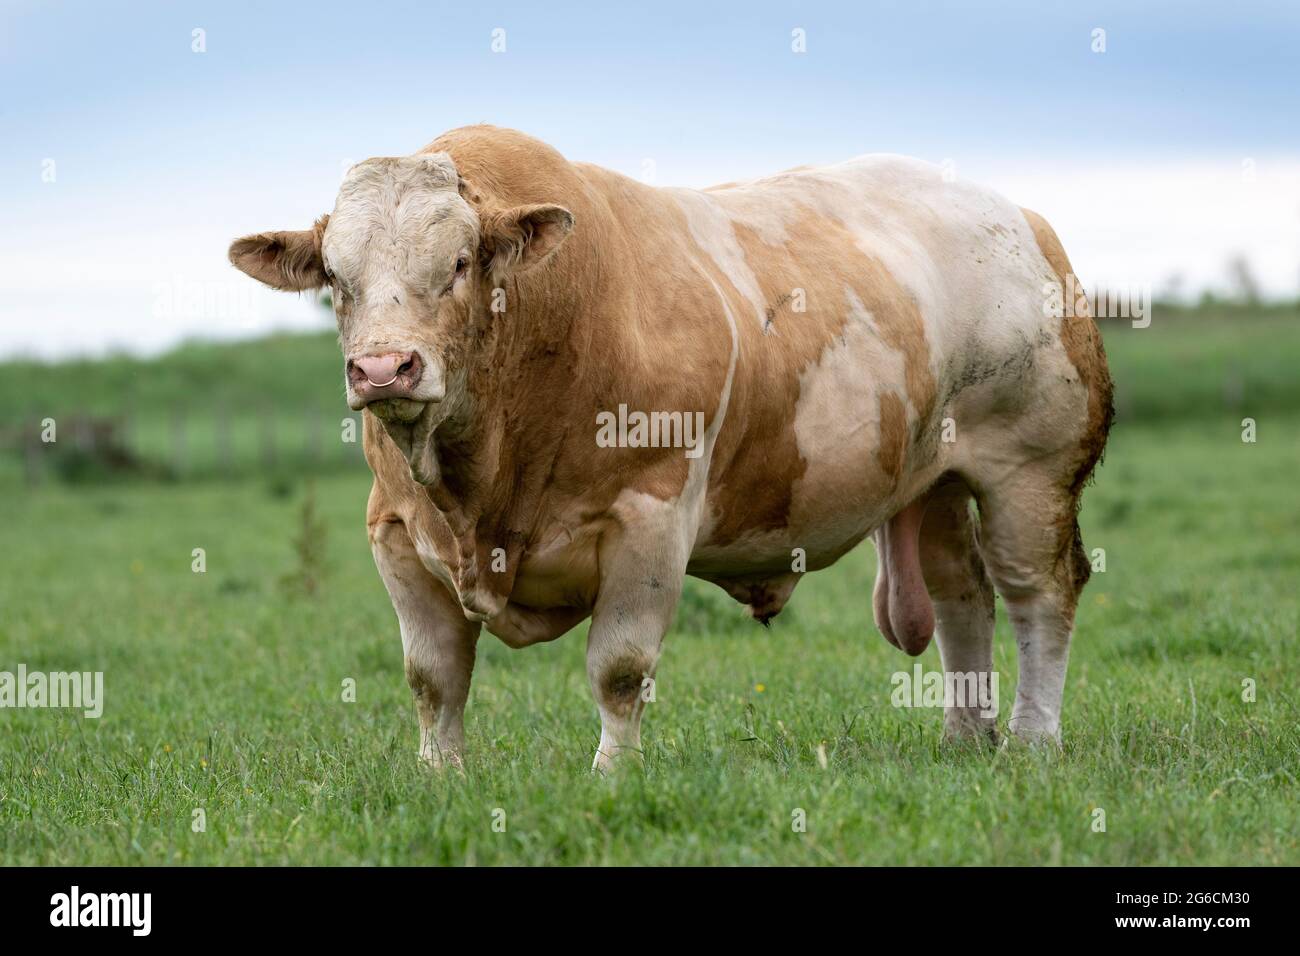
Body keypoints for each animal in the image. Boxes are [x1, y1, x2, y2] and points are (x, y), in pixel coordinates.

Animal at [229, 125, 1113, 771]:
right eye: (336, 278)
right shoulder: (396, 534)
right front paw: (439, 780)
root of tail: (1022, 220)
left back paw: (1033, 740)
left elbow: (618, 670)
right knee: (964, 594)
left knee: (1038, 594)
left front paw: (611, 778)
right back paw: (966, 738)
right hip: (936, 481)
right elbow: (433, 678)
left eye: (457, 264)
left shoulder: (650, 520)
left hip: (1030, 472)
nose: (384, 368)